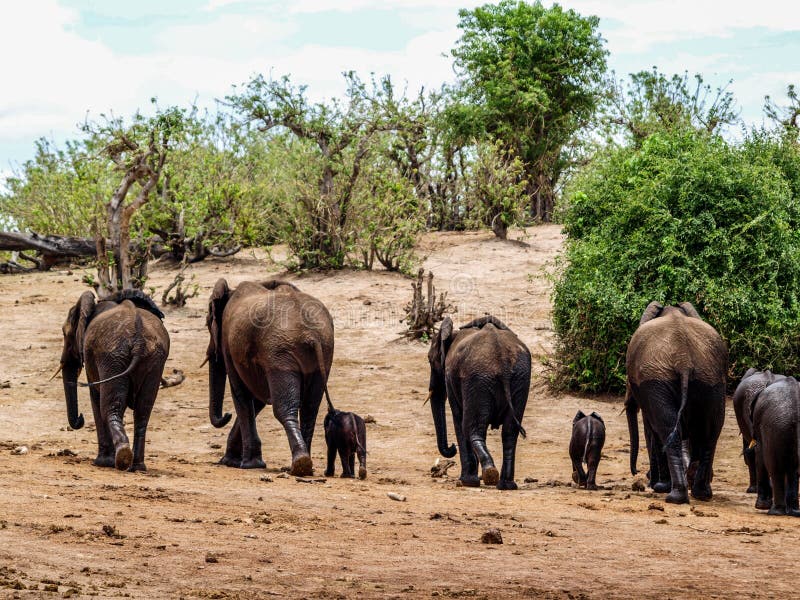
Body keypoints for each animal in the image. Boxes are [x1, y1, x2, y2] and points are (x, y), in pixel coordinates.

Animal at [58, 289, 169, 471]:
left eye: (64, 333)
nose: (80, 418)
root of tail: (139, 341)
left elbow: (96, 398)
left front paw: (102, 463)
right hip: (152, 360)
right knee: (142, 411)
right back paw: (136, 466)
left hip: (112, 357)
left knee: (108, 407)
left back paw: (121, 459)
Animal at [206, 279, 334, 476]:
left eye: (207, 324)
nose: (226, 415)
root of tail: (311, 335)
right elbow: (257, 399)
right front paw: (230, 461)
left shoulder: (229, 346)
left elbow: (242, 394)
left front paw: (248, 465)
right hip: (322, 353)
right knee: (309, 409)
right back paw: (303, 465)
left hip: (279, 354)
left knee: (284, 409)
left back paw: (300, 464)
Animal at [426, 315, 530, 490]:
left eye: (429, 360)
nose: (451, 447)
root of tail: (502, 357)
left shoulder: (450, 376)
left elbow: (458, 419)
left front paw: (467, 481)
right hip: (519, 378)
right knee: (509, 433)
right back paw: (506, 485)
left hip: (477, 378)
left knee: (471, 428)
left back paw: (488, 475)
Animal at [625, 301, 728, 504]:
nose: (635, 472)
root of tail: (684, 360)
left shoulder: (648, 388)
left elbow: (651, 429)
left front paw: (655, 485)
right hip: (711, 382)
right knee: (711, 432)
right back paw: (701, 493)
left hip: (659, 381)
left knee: (666, 431)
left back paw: (672, 494)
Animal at [751, 377, 800, 516]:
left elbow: (759, 453)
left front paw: (761, 506)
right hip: (780, 427)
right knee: (793, 469)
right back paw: (794, 511)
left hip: (775, 428)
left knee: (774, 467)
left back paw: (775, 512)